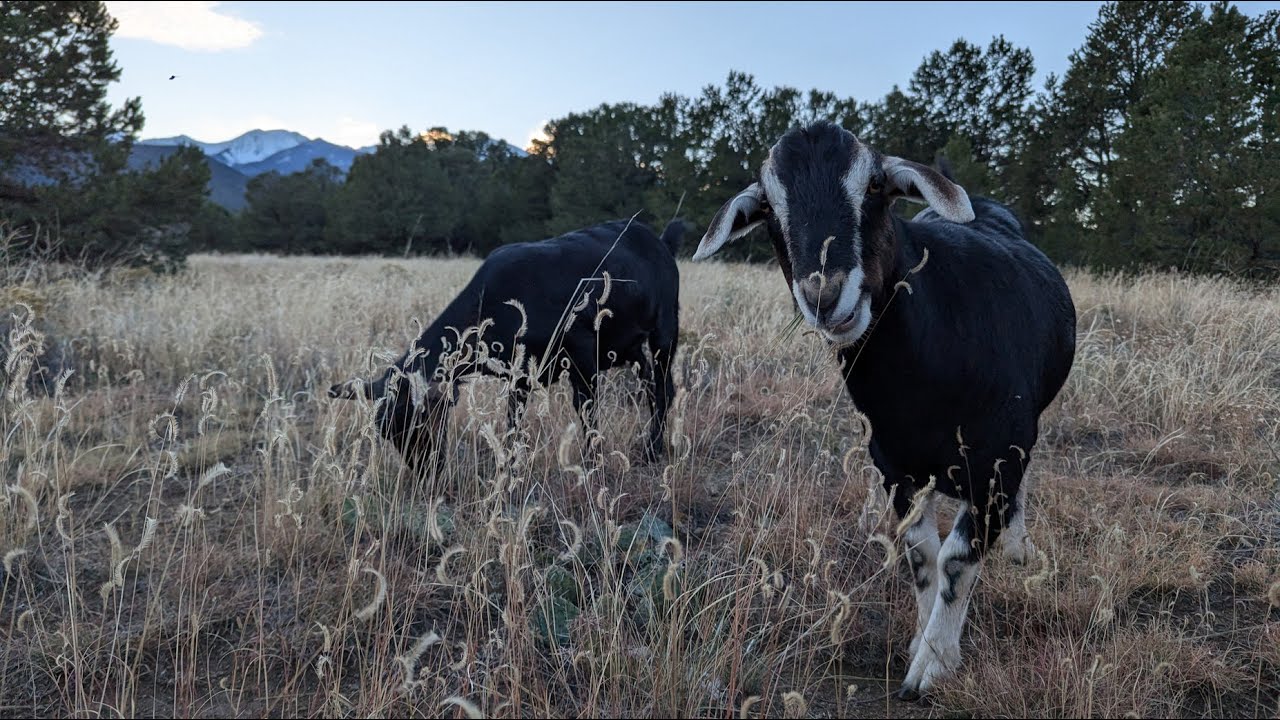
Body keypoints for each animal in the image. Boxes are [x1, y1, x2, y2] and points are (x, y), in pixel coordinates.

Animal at [330, 218, 684, 474]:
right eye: (386, 431)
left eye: (418, 419)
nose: (425, 473)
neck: (495, 304)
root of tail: (661, 242)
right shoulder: (520, 375)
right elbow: (513, 423)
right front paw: (512, 469)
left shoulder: (582, 354)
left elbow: (587, 413)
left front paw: (593, 465)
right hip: (630, 346)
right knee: (649, 385)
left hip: (665, 330)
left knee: (664, 388)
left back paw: (654, 449)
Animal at [693, 120, 1076, 699]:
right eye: (768, 208)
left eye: (875, 186)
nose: (826, 295)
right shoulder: (894, 464)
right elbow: (921, 554)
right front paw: (920, 643)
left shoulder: (996, 456)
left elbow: (957, 559)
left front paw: (933, 667)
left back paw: (1017, 544)